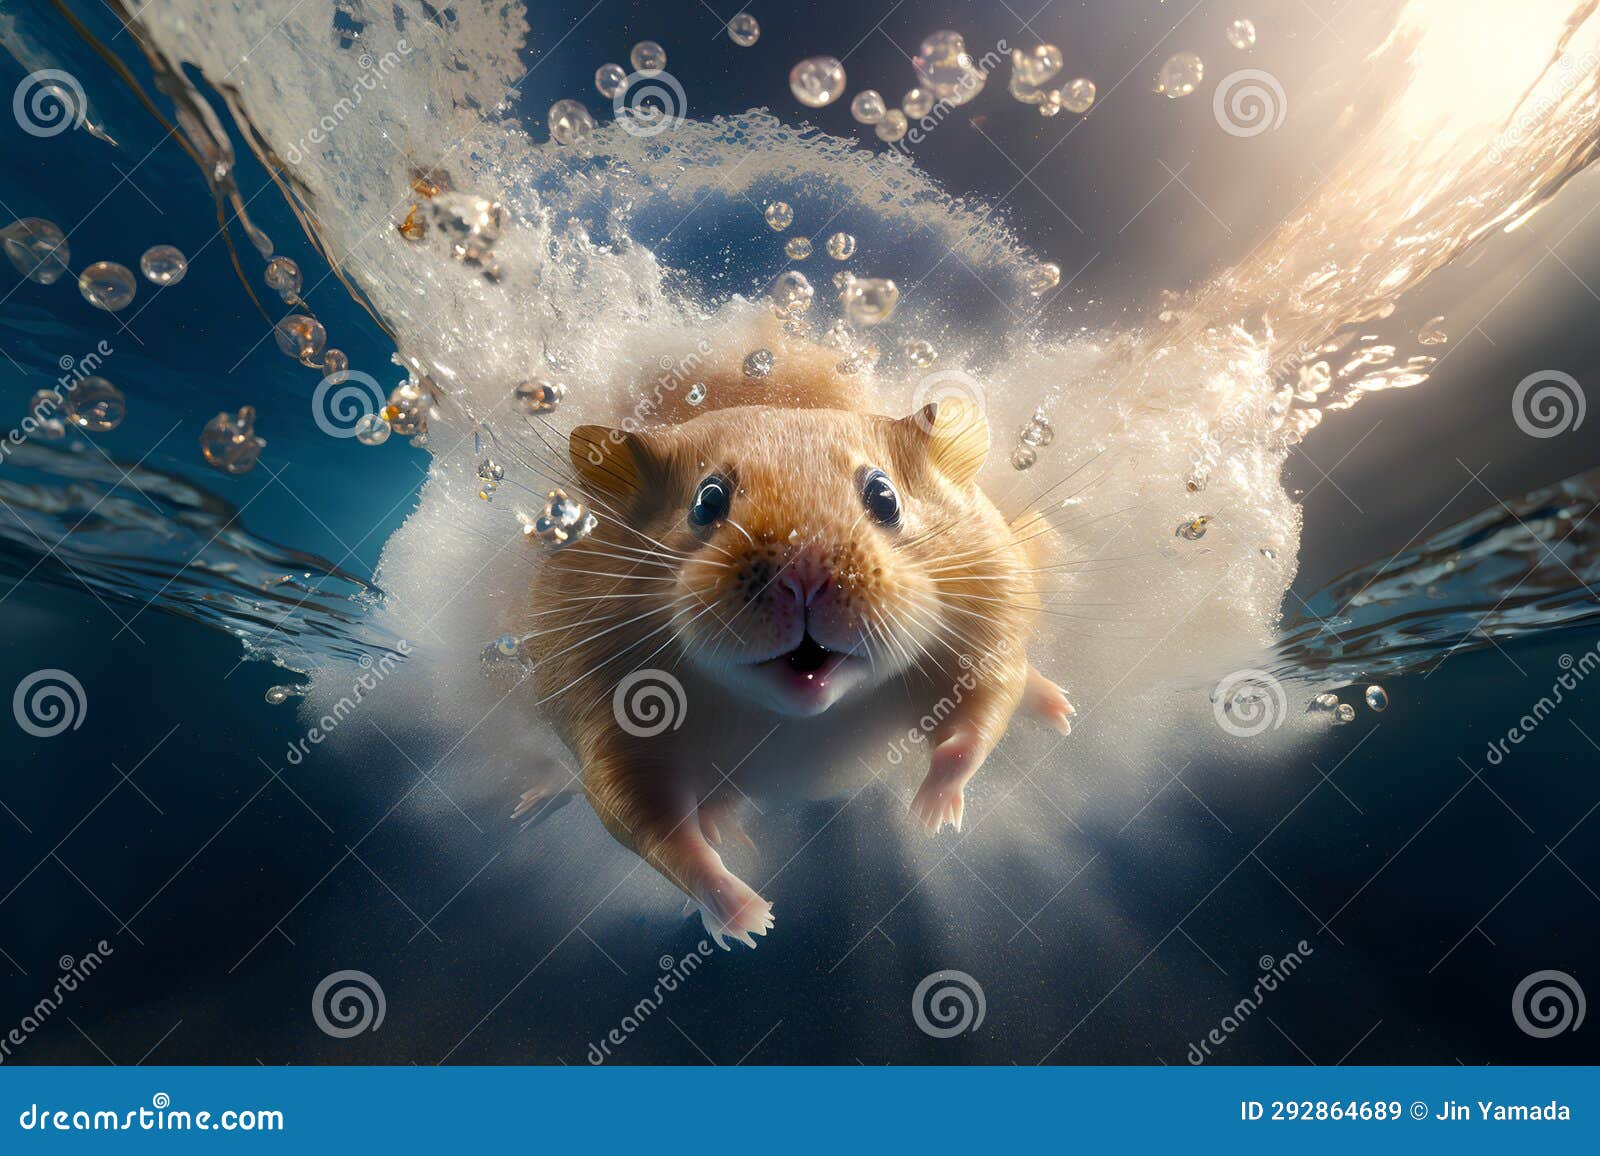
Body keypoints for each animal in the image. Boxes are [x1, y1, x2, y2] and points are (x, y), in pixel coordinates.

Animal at [518, 332, 1073, 947]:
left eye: (884, 497)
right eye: (707, 501)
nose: (803, 567)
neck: (801, 718)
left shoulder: (987, 632)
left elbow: (978, 720)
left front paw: (929, 817)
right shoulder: (607, 720)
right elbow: (650, 824)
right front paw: (751, 920)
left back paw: (1057, 709)